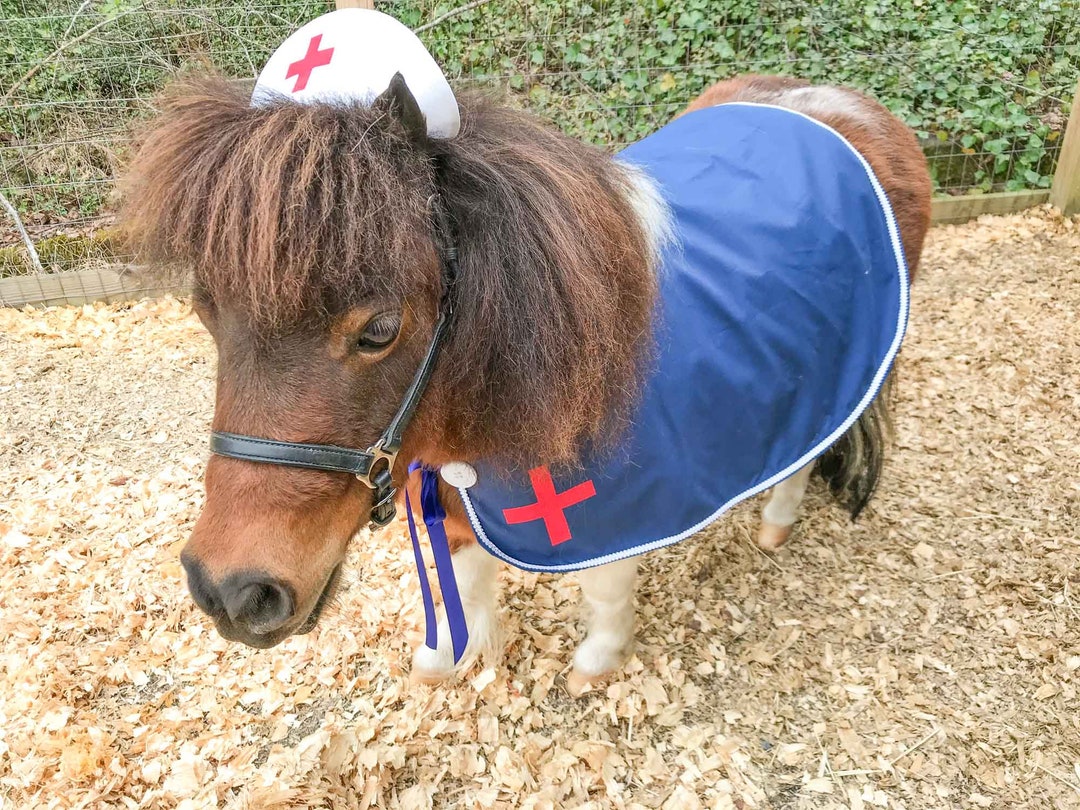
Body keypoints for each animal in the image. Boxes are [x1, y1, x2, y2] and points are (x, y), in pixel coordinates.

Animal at [124, 57, 931, 692]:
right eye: (205, 310)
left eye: (379, 329)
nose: (230, 592)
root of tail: (840, 104)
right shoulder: (442, 482)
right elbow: (462, 573)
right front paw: (450, 656)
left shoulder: (616, 508)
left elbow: (605, 586)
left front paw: (598, 662)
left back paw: (776, 522)